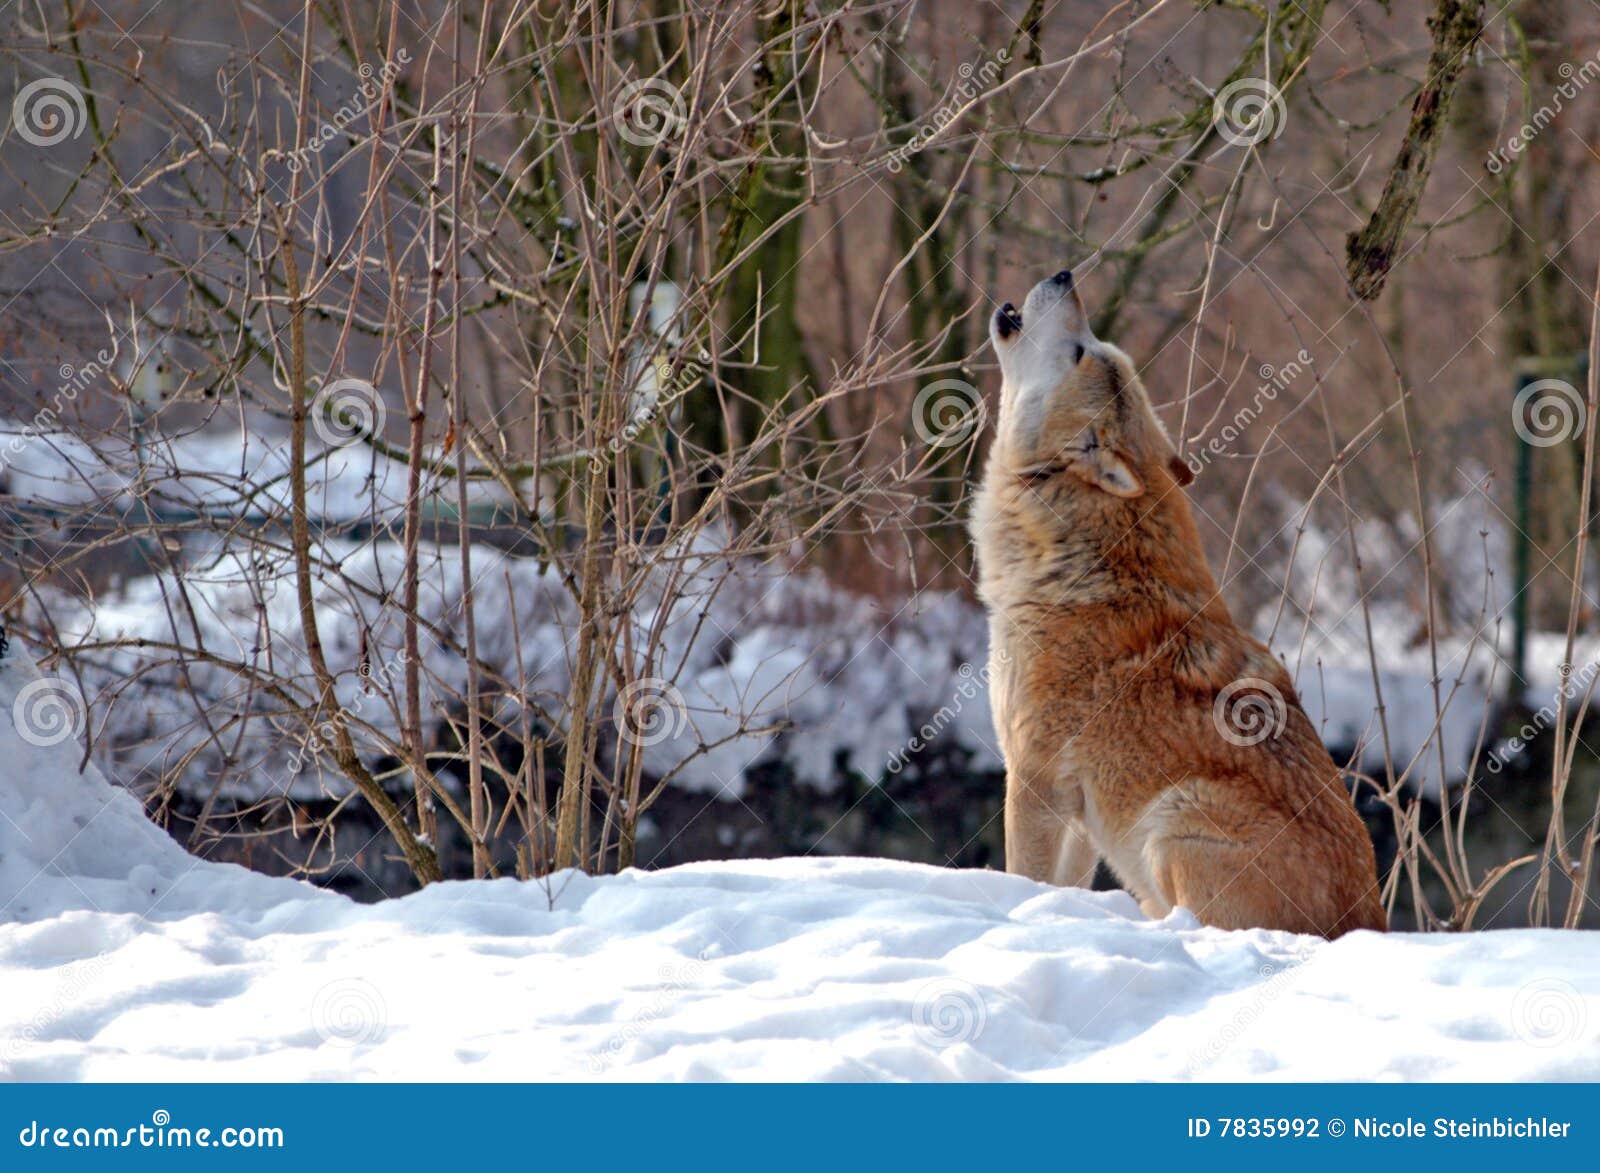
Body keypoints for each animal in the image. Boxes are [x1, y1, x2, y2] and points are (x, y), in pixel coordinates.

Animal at [971, 268, 1386, 938]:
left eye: (1082, 349)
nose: (1065, 275)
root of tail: (1367, 921)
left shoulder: (1032, 781)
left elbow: (1022, 879)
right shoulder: (1077, 812)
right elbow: (1059, 886)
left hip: (1171, 820)